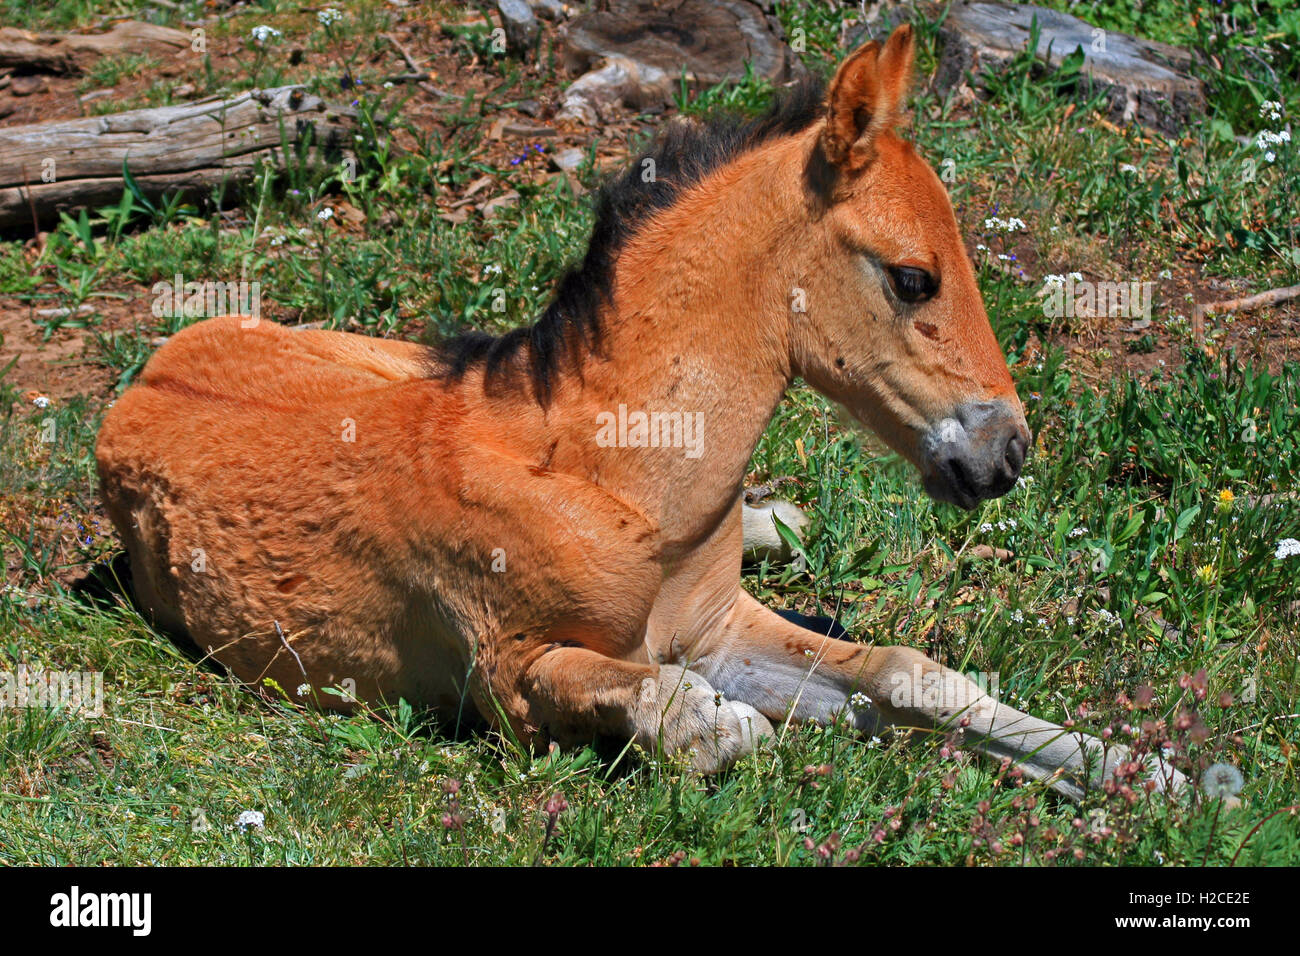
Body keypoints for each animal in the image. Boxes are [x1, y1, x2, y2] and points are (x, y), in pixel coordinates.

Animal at [96, 26, 1178, 801]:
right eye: (914, 277)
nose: (1008, 449)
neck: (624, 486)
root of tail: (151, 368)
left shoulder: (721, 624)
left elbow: (911, 672)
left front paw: (1141, 770)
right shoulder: (512, 678)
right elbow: (696, 718)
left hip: (400, 351)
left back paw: (777, 521)